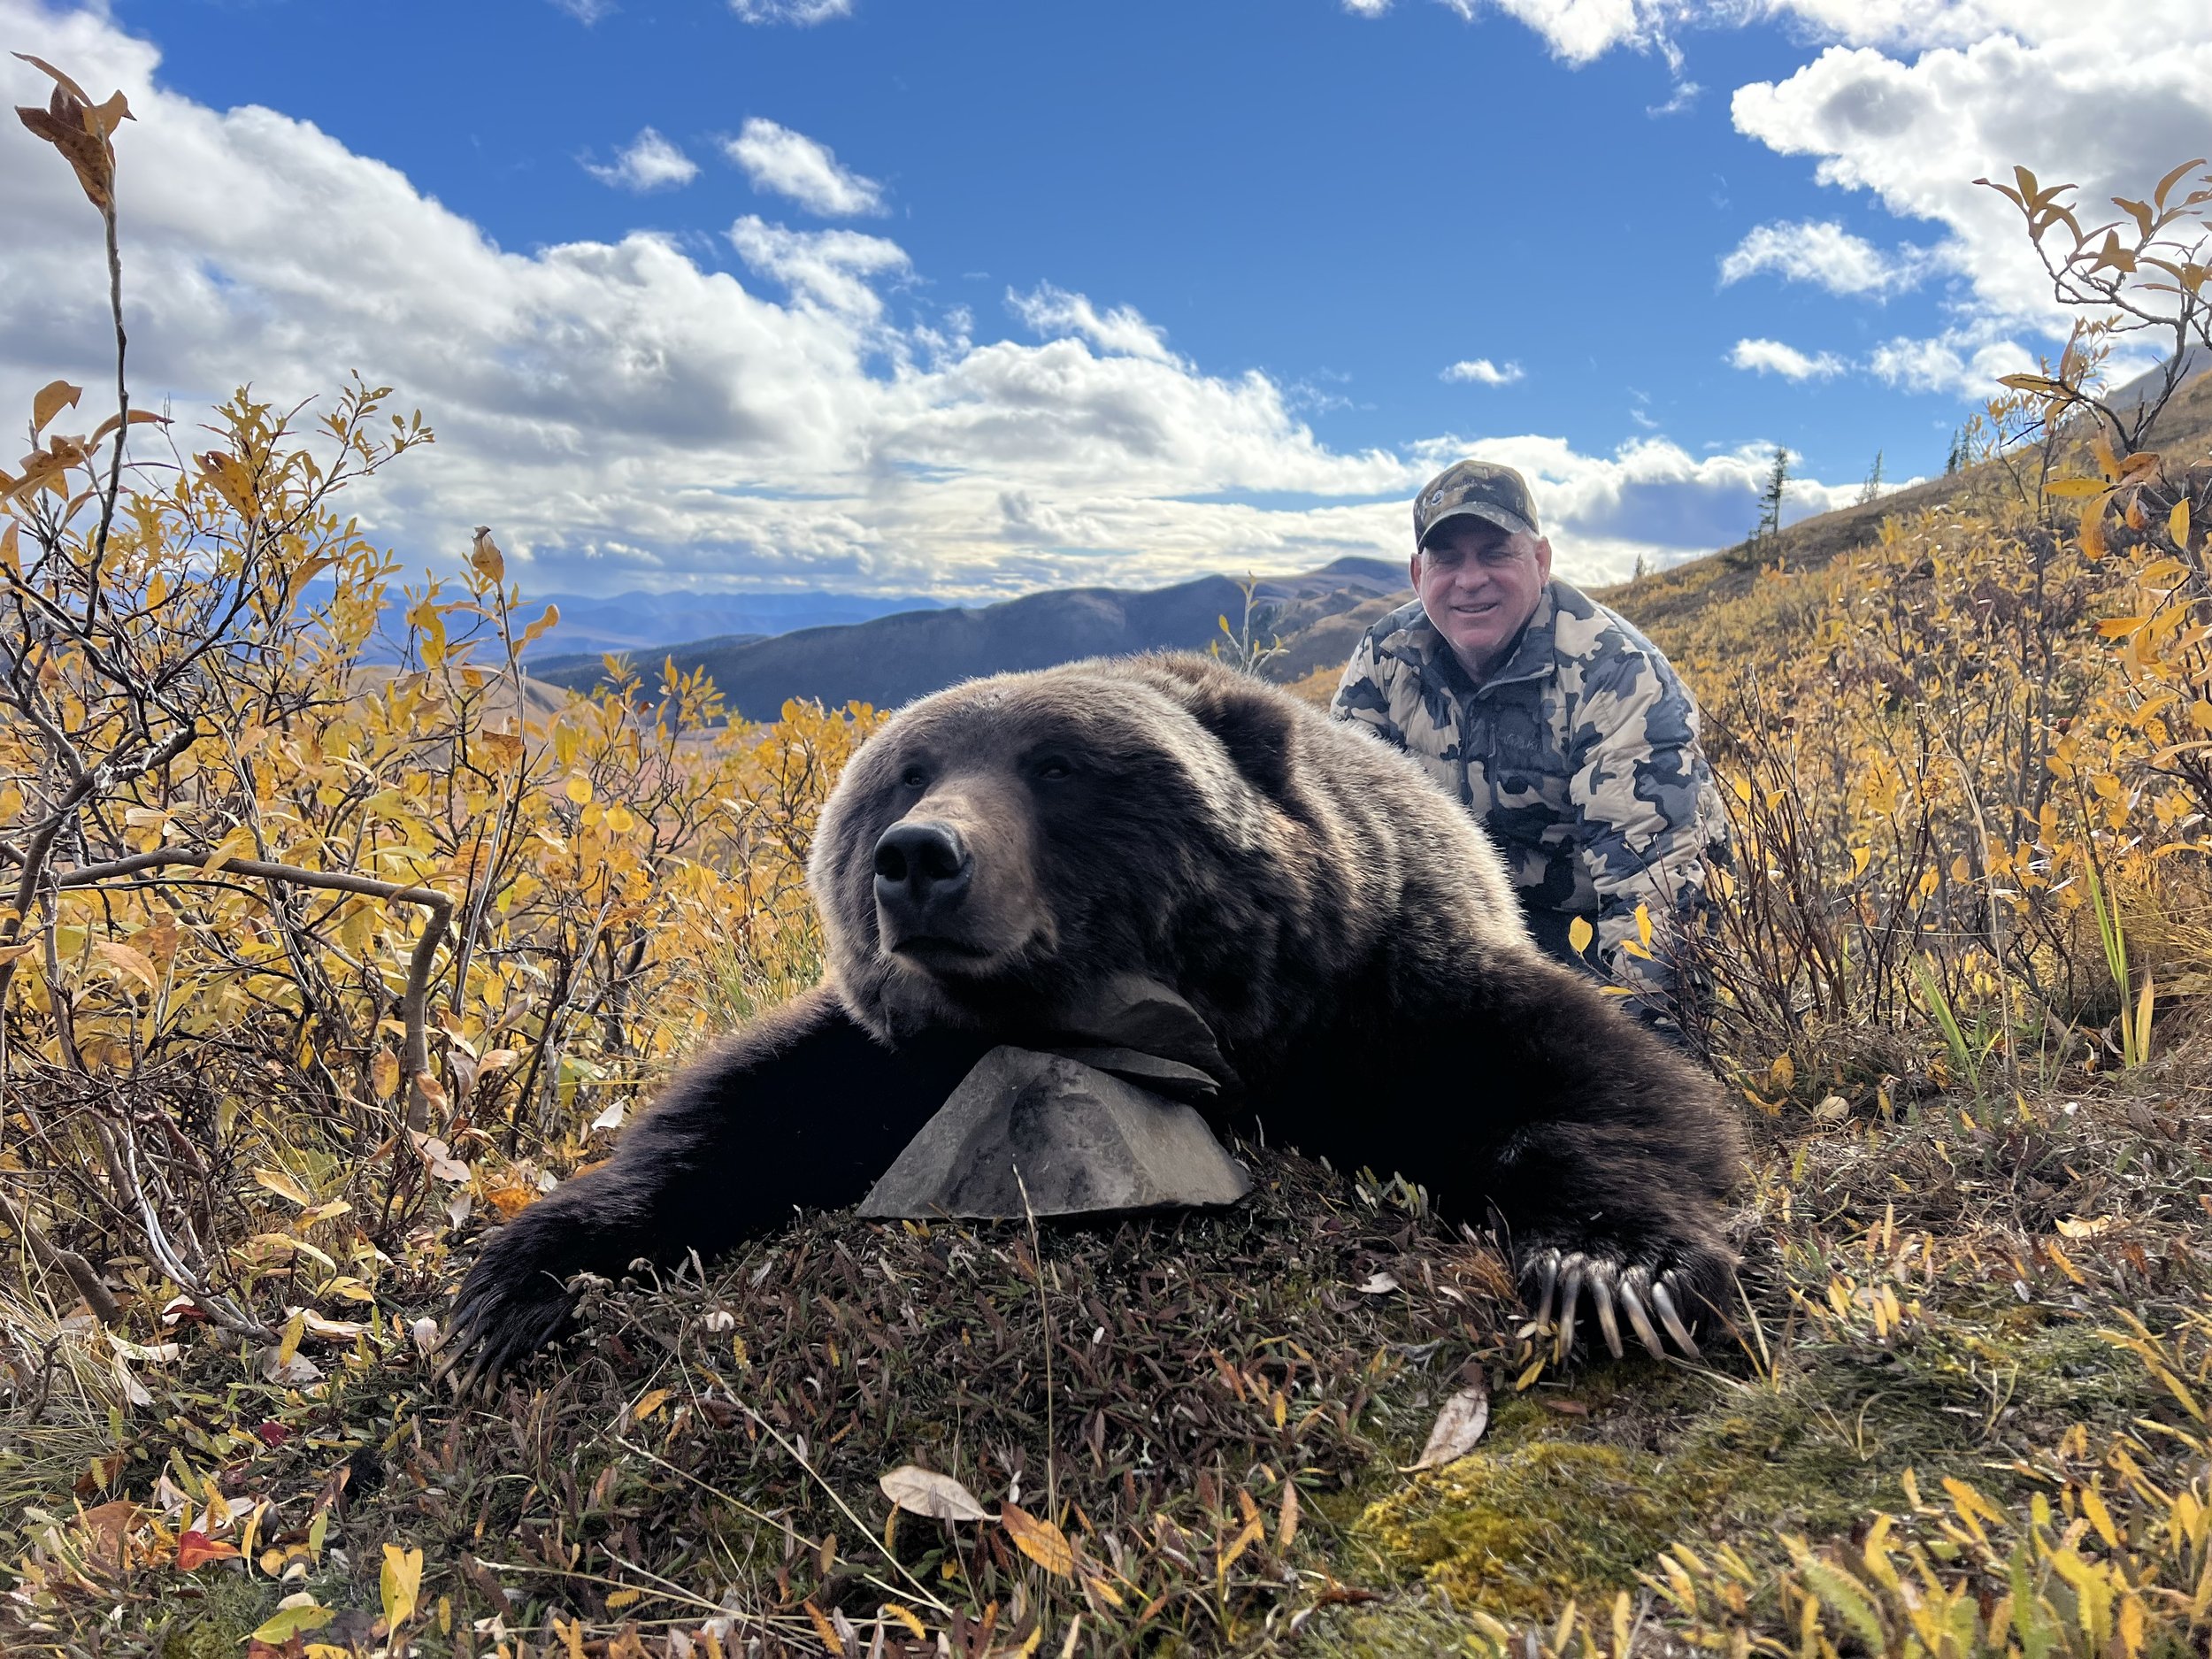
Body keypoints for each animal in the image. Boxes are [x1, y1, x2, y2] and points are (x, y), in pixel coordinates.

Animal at [443, 654, 1744, 1385]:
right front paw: (510, 1288)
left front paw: (1610, 1265)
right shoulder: (900, 1057)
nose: (919, 859)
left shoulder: (1388, 989)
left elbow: (1591, 1083)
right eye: (908, 773)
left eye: (1058, 765)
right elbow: (733, 1120)